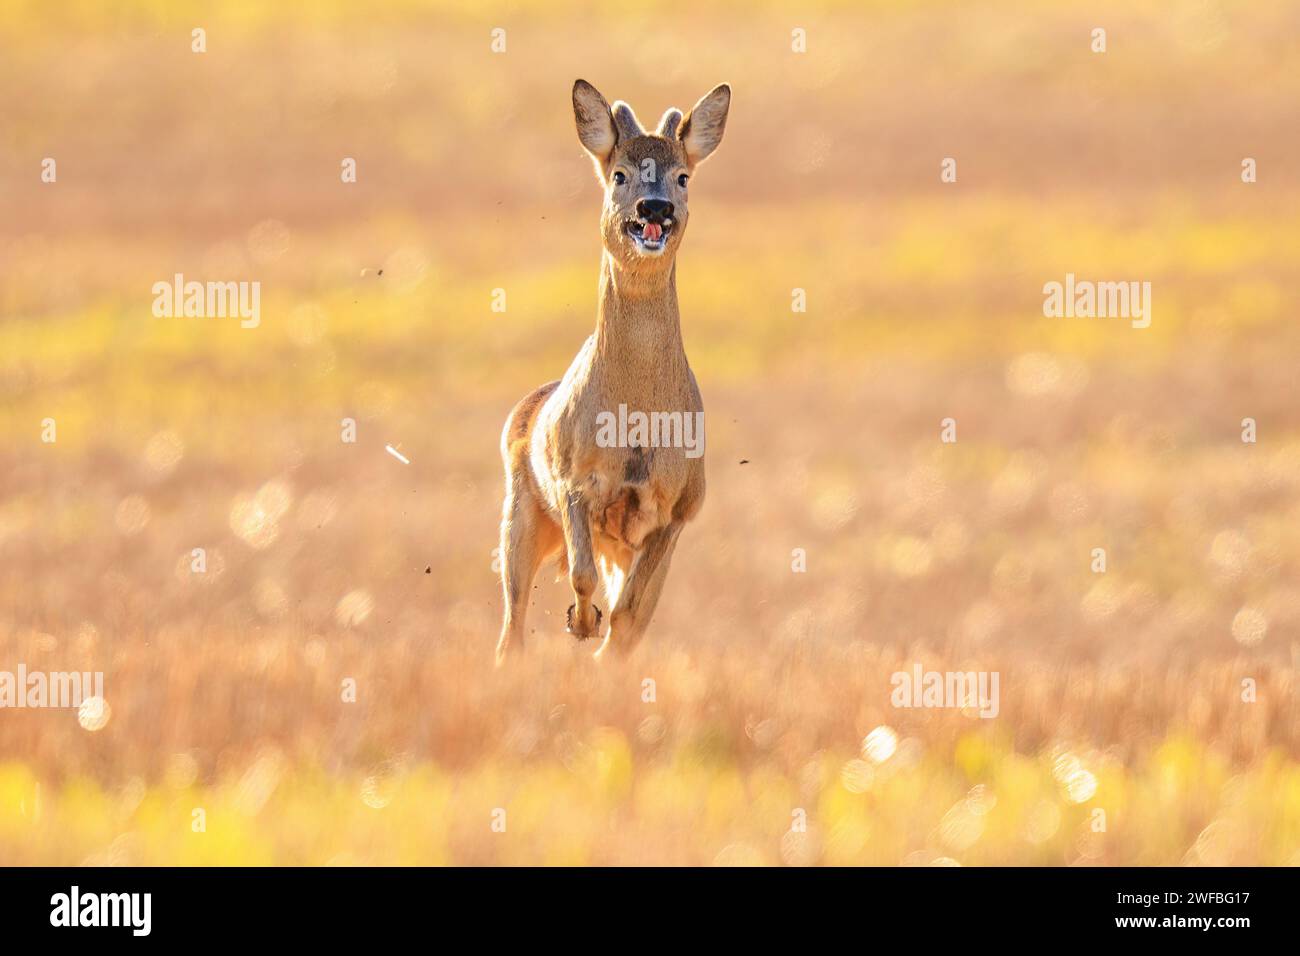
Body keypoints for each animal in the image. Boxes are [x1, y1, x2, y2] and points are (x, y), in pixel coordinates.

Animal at [495, 79, 731, 666]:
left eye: (683, 175)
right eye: (620, 173)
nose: (656, 207)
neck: (634, 422)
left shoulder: (679, 509)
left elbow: (628, 616)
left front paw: (596, 639)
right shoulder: (572, 479)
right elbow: (581, 575)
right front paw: (580, 621)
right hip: (519, 513)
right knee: (511, 627)